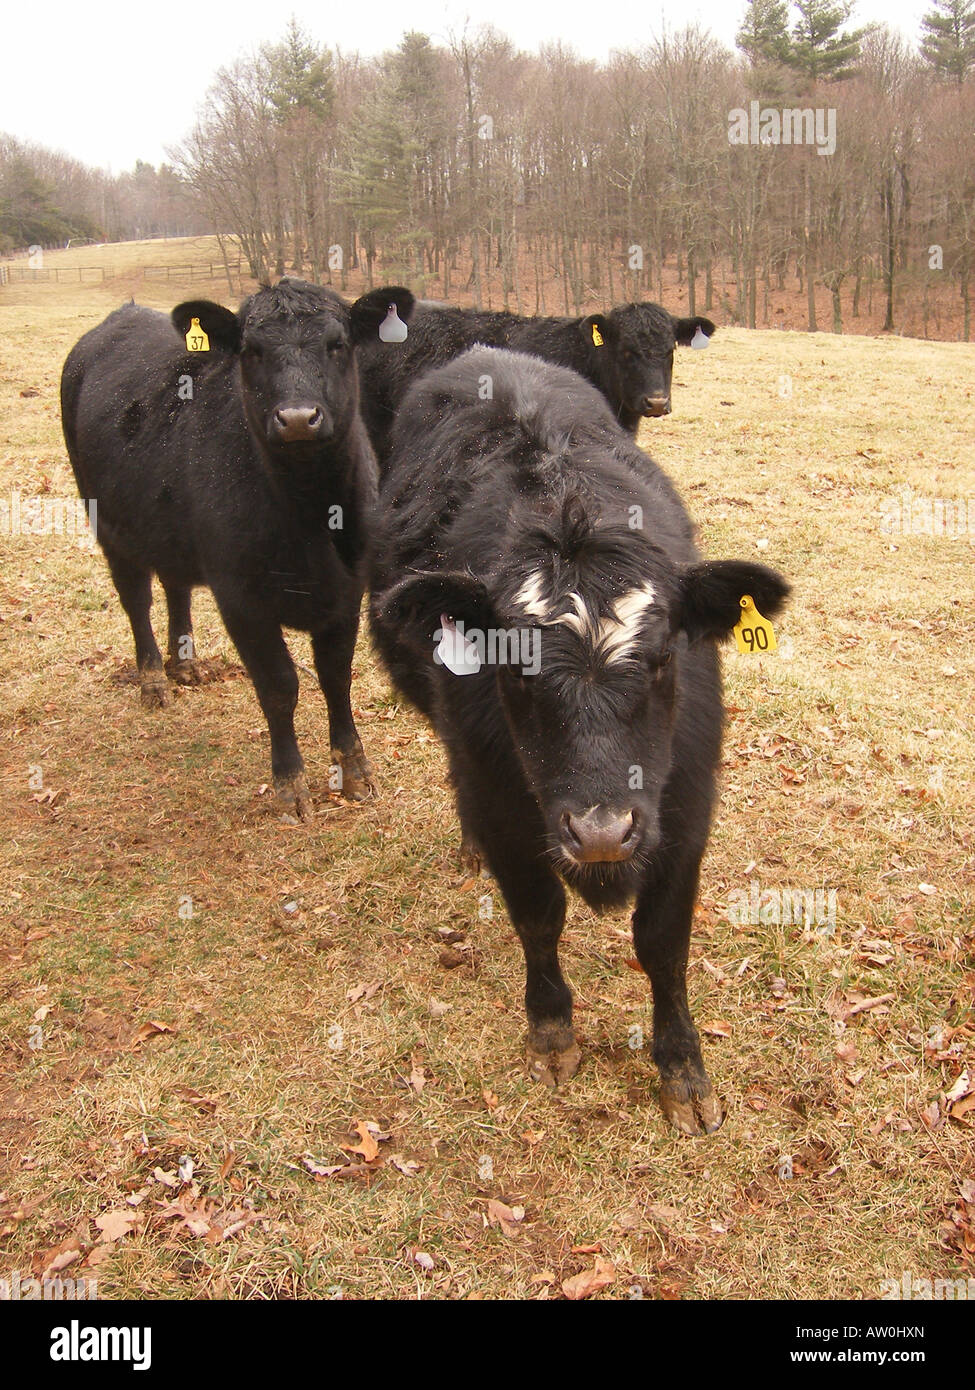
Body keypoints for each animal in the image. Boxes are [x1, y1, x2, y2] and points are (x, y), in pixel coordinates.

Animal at [61, 278, 415, 817]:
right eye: (251, 351)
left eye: (337, 343)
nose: (297, 418)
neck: (309, 517)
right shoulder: (241, 599)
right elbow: (279, 686)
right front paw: (290, 785)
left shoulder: (347, 588)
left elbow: (336, 676)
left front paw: (354, 770)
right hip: (109, 524)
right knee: (136, 600)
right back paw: (154, 681)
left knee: (176, 587)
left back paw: (185, 665)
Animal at [369, 347, 789, 1134]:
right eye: (515, 670)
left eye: (663, 658)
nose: (599, 831)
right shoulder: (508, 806)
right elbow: (537, 918)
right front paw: (552, 1032)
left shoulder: (684, 810)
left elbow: (663, 944)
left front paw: (682, 1070)